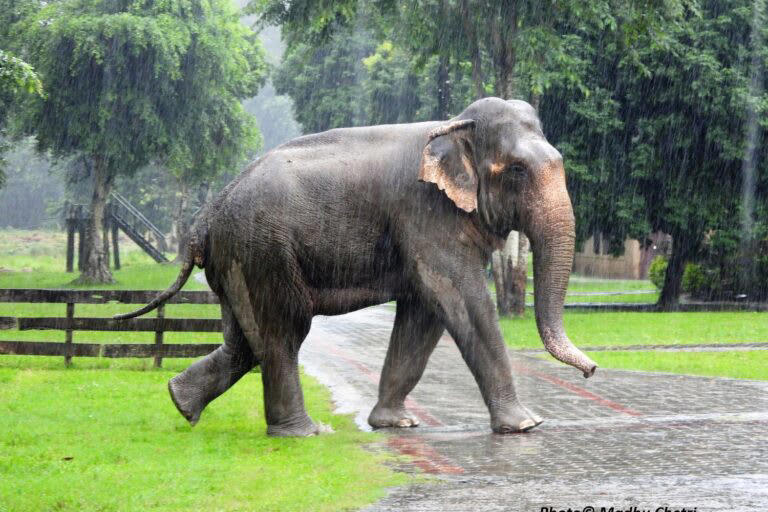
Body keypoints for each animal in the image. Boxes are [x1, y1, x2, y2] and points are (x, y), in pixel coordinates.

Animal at [116, 97, 597, 437]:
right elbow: (461, 300)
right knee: (282, 333)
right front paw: (526, 425)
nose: (592, 370)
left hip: (239, 259)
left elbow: (423, 312)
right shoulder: (426, 215)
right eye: (516, 170)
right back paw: (305, 433)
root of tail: (205, 218)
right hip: (263, 251)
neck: (454, 125)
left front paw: (395, 424)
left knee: (243, 341)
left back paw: (181, 403)